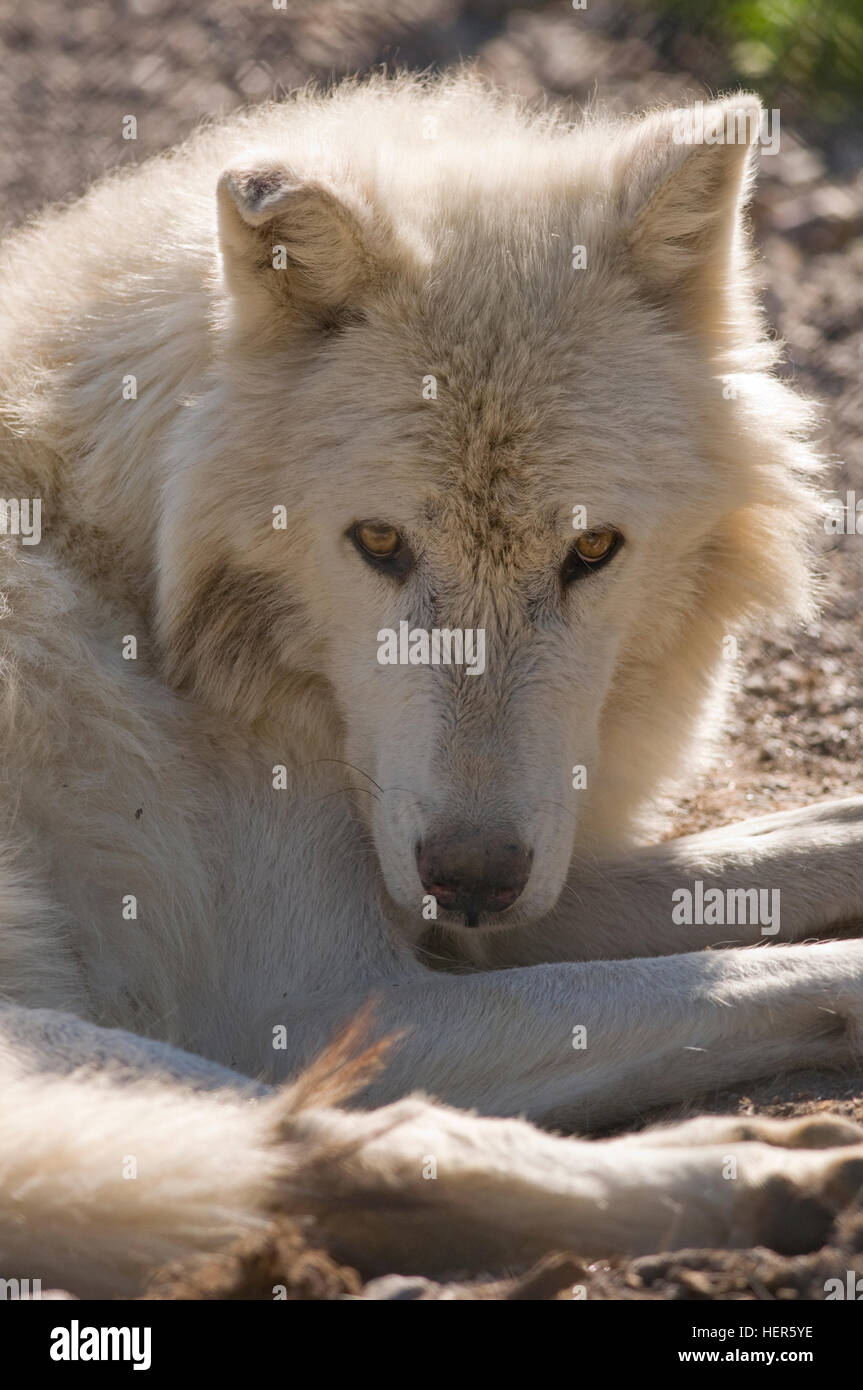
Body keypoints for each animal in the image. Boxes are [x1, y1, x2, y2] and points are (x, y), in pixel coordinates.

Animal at [2, 74, 863, 1298]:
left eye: (590, 549)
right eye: (378, 543)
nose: (471, 877)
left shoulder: (477, 882)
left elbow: (747, 869)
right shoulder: (315, 1001)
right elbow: (754, 976)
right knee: (353, 1140)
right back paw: (761, 1179)